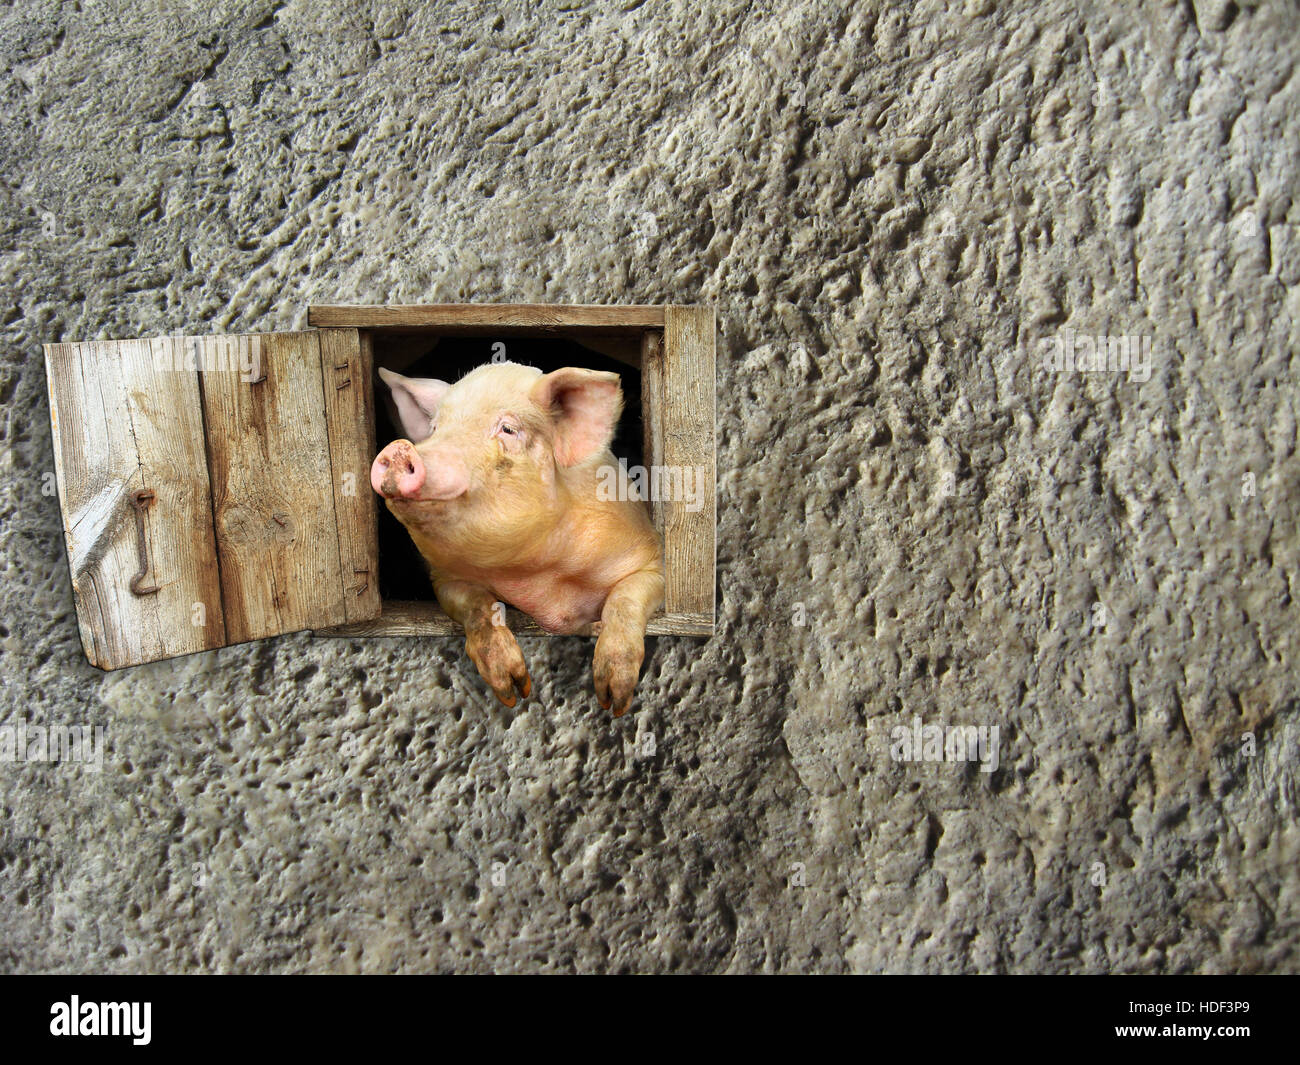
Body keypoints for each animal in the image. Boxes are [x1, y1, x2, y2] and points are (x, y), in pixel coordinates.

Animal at [371, 361, 665, 716]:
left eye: (508, 429)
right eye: (435, 428)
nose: (399, 449)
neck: (538, 576)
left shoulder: (649, 557)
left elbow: (625, 600)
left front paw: (614, 702)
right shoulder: (446, 578)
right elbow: (477, 606)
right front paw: (514, 691)